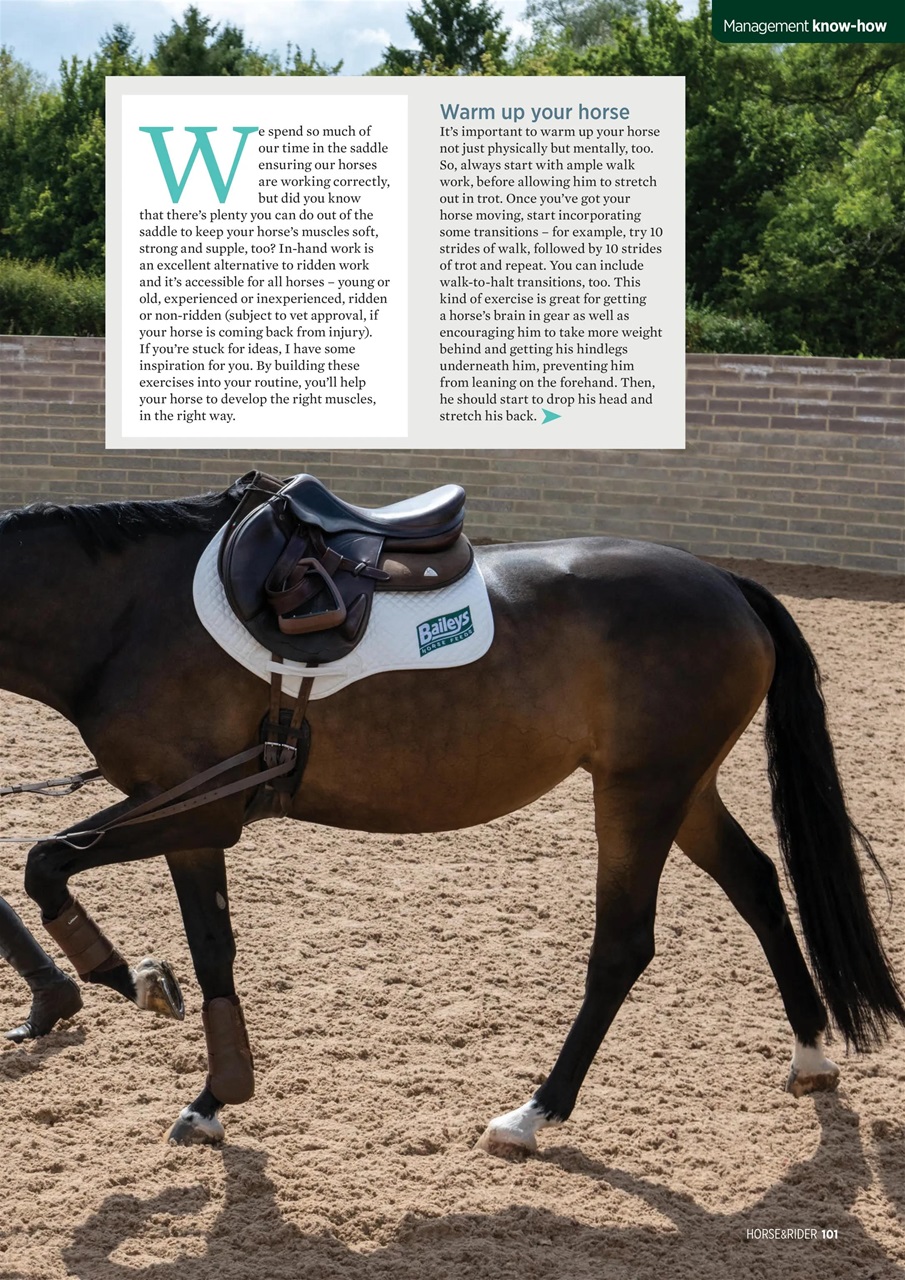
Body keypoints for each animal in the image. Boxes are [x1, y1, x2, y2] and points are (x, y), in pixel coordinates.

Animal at [0, 479, 902, 1150]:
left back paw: (534, 1113)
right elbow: (210, 947)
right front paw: (214, 1091)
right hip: (683, 791)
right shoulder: (192, 818)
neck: (129, 613)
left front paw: (130, 979)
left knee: (623, 946)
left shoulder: (196, 809)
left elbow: (46, 860)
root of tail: (726, 584)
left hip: (640, 794)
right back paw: (809, 1054)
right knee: (756, 885)